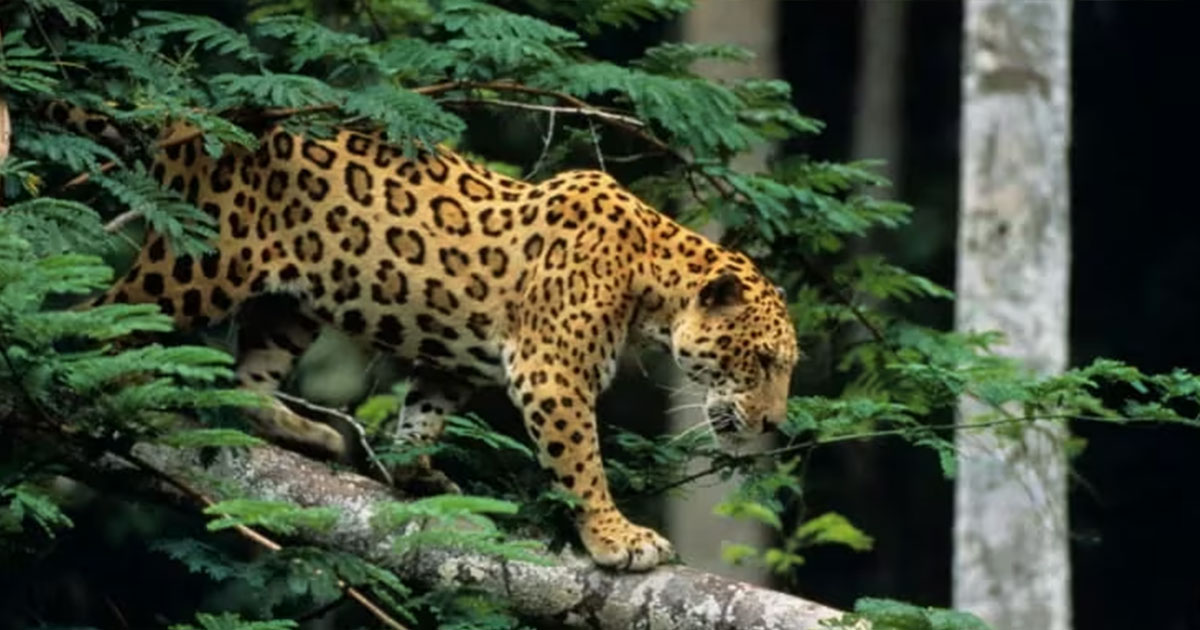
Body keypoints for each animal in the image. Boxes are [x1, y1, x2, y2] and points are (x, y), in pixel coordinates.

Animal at [68, 104, 801, 571]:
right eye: (763, 361)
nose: (773, 425)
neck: (650, 277)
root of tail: (190, 125)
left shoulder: (461, 366)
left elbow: (425, 409)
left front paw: (412, 469)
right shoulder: (552, 374)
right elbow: (582, 465)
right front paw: (615, 538)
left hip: (291, 304)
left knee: (248, 376)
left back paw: (307, 433)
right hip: (200, 264)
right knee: (103, 312)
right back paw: (106, 375)